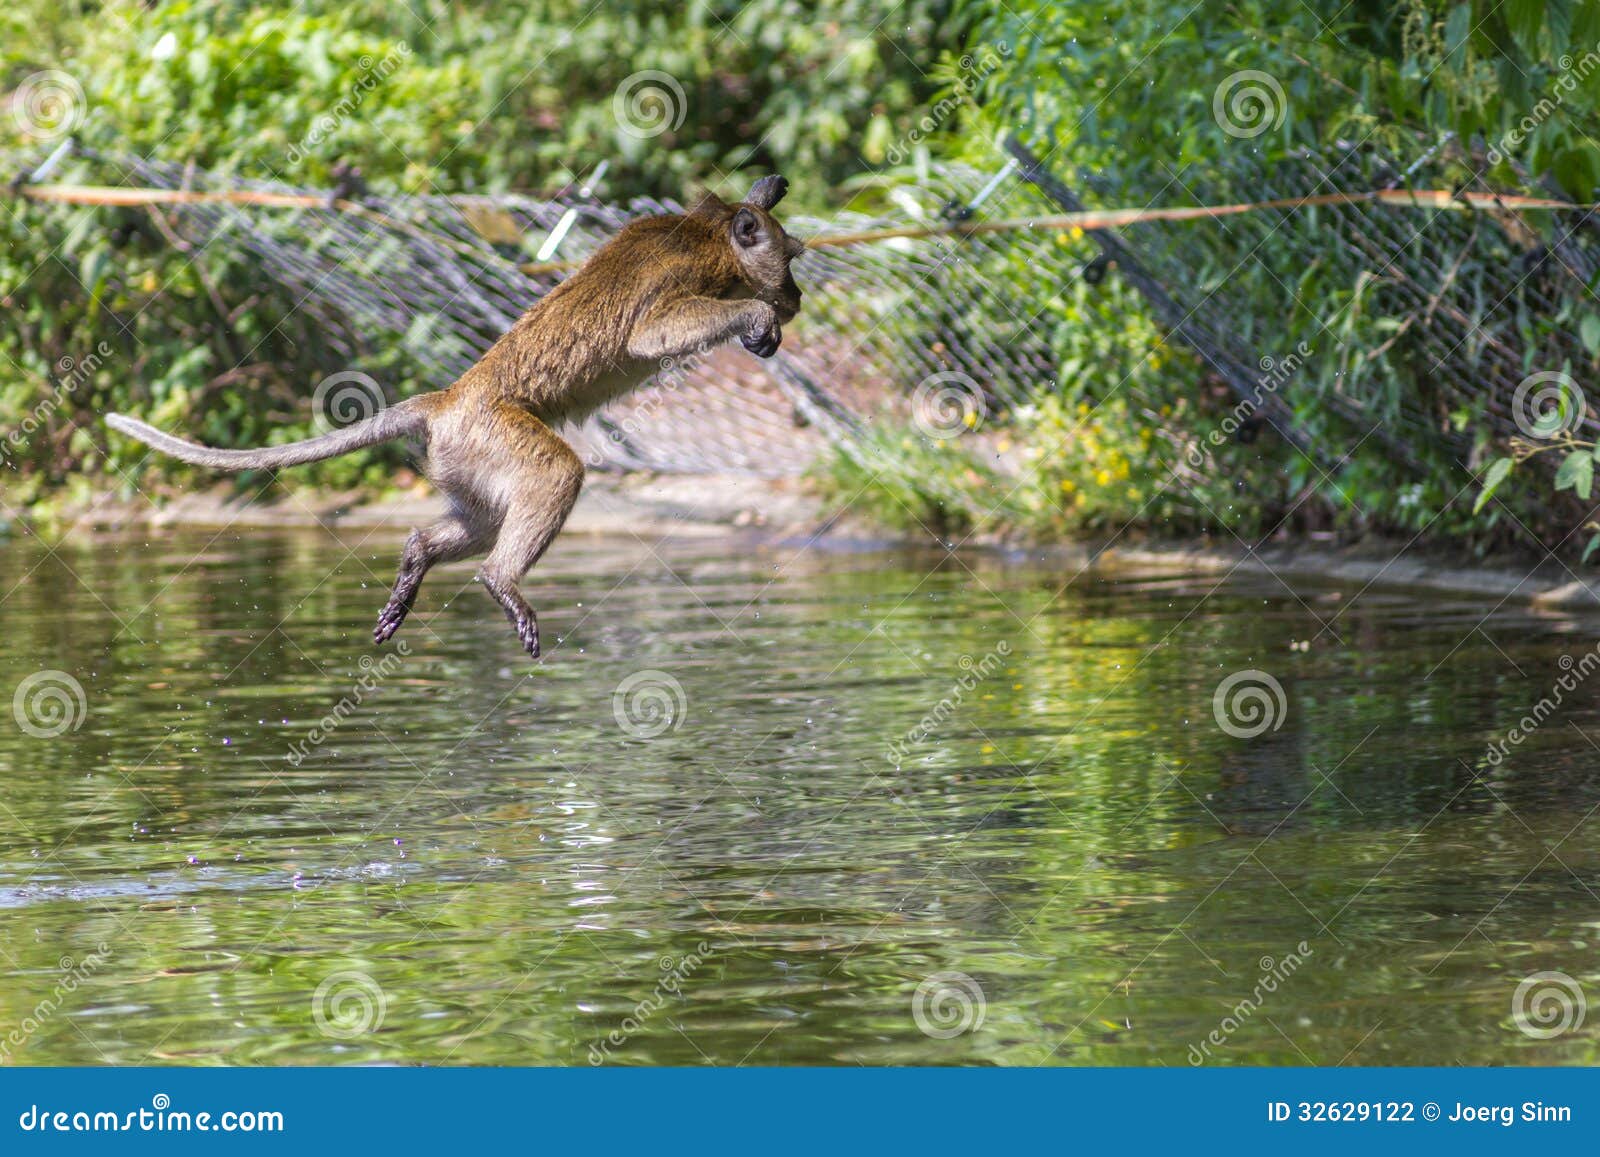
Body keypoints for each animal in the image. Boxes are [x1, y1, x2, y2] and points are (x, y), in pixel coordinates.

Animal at [107, 174, 804, 659]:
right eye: (789, 258)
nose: (795, 296)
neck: (708, 231)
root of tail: (449, 401)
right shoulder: (683, 277)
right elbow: (650, 337)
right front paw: (755, 318)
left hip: (463, 456)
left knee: (484, 515)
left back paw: (416, 561)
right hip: (492, 432)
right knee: (555, 474)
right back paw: (502, 581)